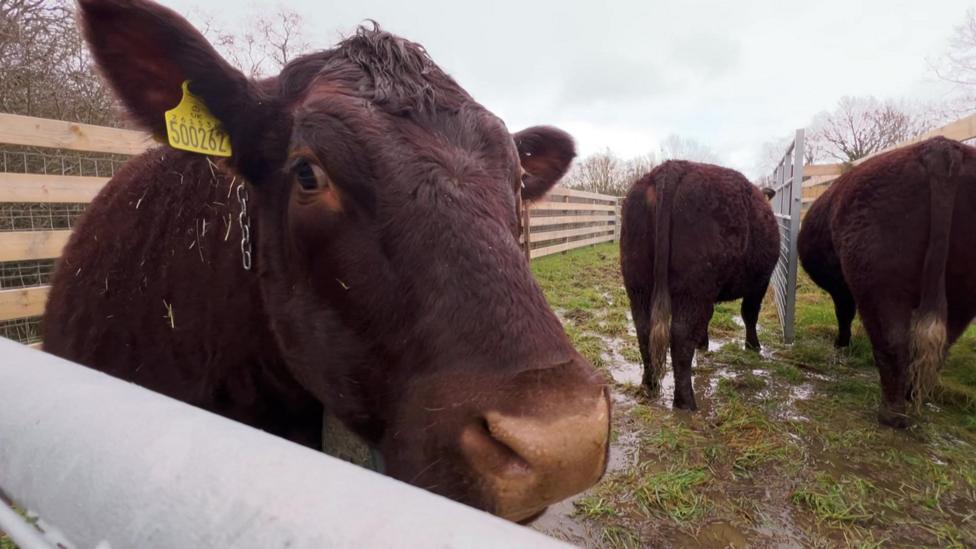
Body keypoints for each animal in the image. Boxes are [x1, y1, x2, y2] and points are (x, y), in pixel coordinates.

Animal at [620, 161, 780, 410]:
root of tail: (671, 167)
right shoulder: (760, 283)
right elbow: (750, 314)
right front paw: (753, 346)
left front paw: (703, 343)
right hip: (693, 288)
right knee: (681, 336)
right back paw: (686, 401)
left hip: (639, 284)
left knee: (644, 330)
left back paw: (650, 385)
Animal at [798, 137, 976, 428]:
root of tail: (940, 146)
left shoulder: (841, 287)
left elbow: (844, 313)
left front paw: (841, 344)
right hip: (963, 290)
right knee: (938, 344)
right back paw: (911, 395)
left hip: (877, 279)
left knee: (893, 341)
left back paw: (892, 413)